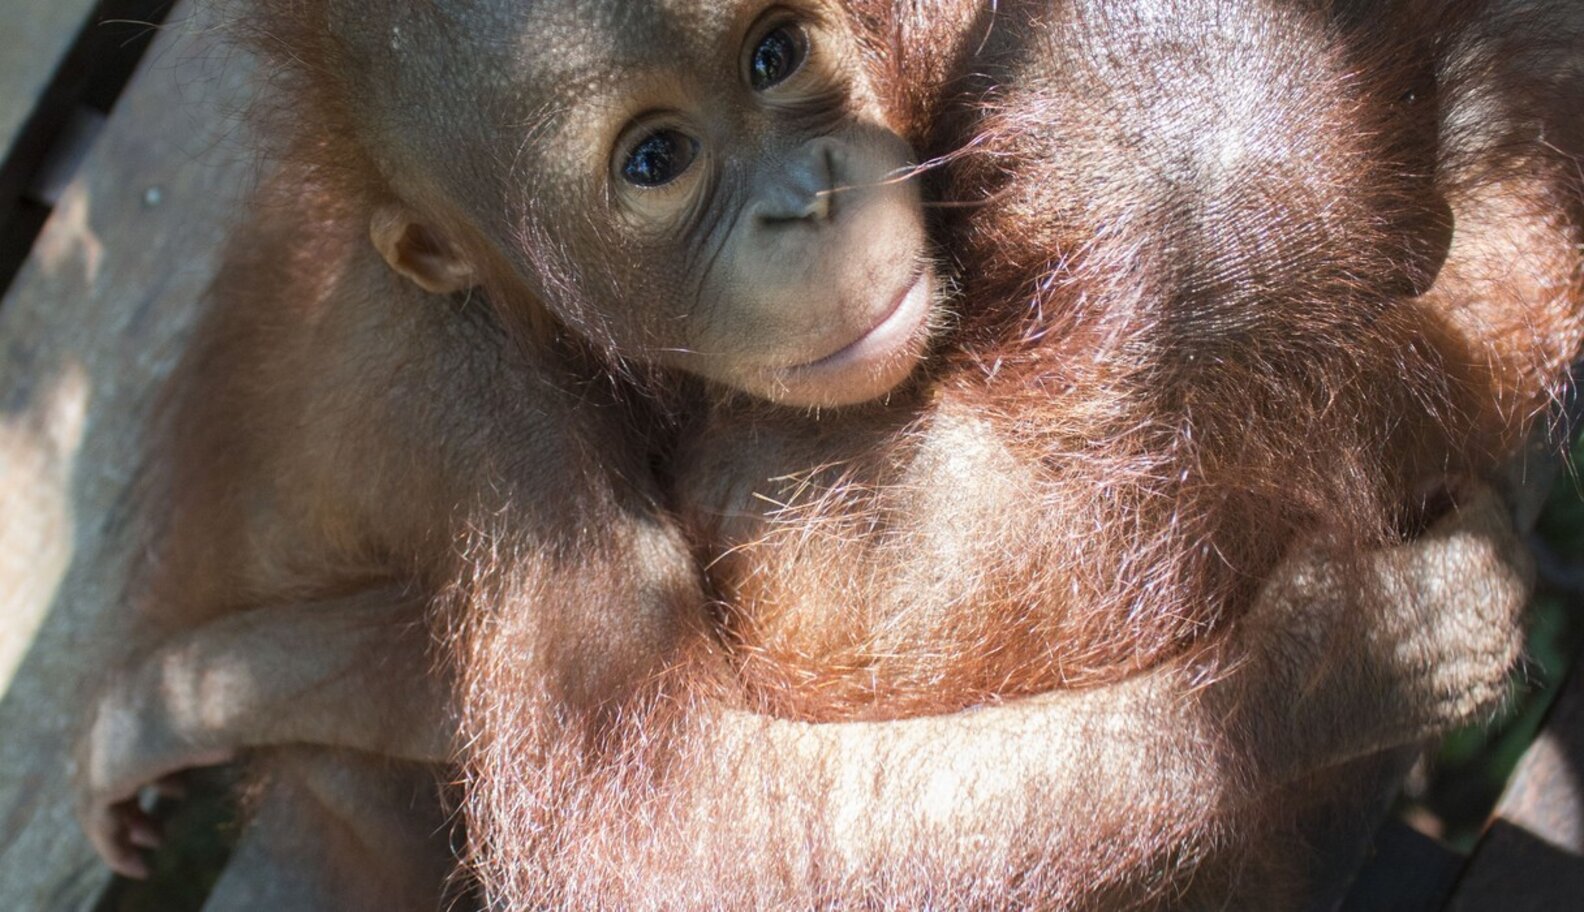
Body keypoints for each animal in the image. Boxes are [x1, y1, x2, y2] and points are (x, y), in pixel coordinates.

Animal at [71, 0, 1576, 909]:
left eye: (774, 53)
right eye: (656, 159)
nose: (811, 196)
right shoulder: (483, 418)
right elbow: (672, 839)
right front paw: (1357, 653)